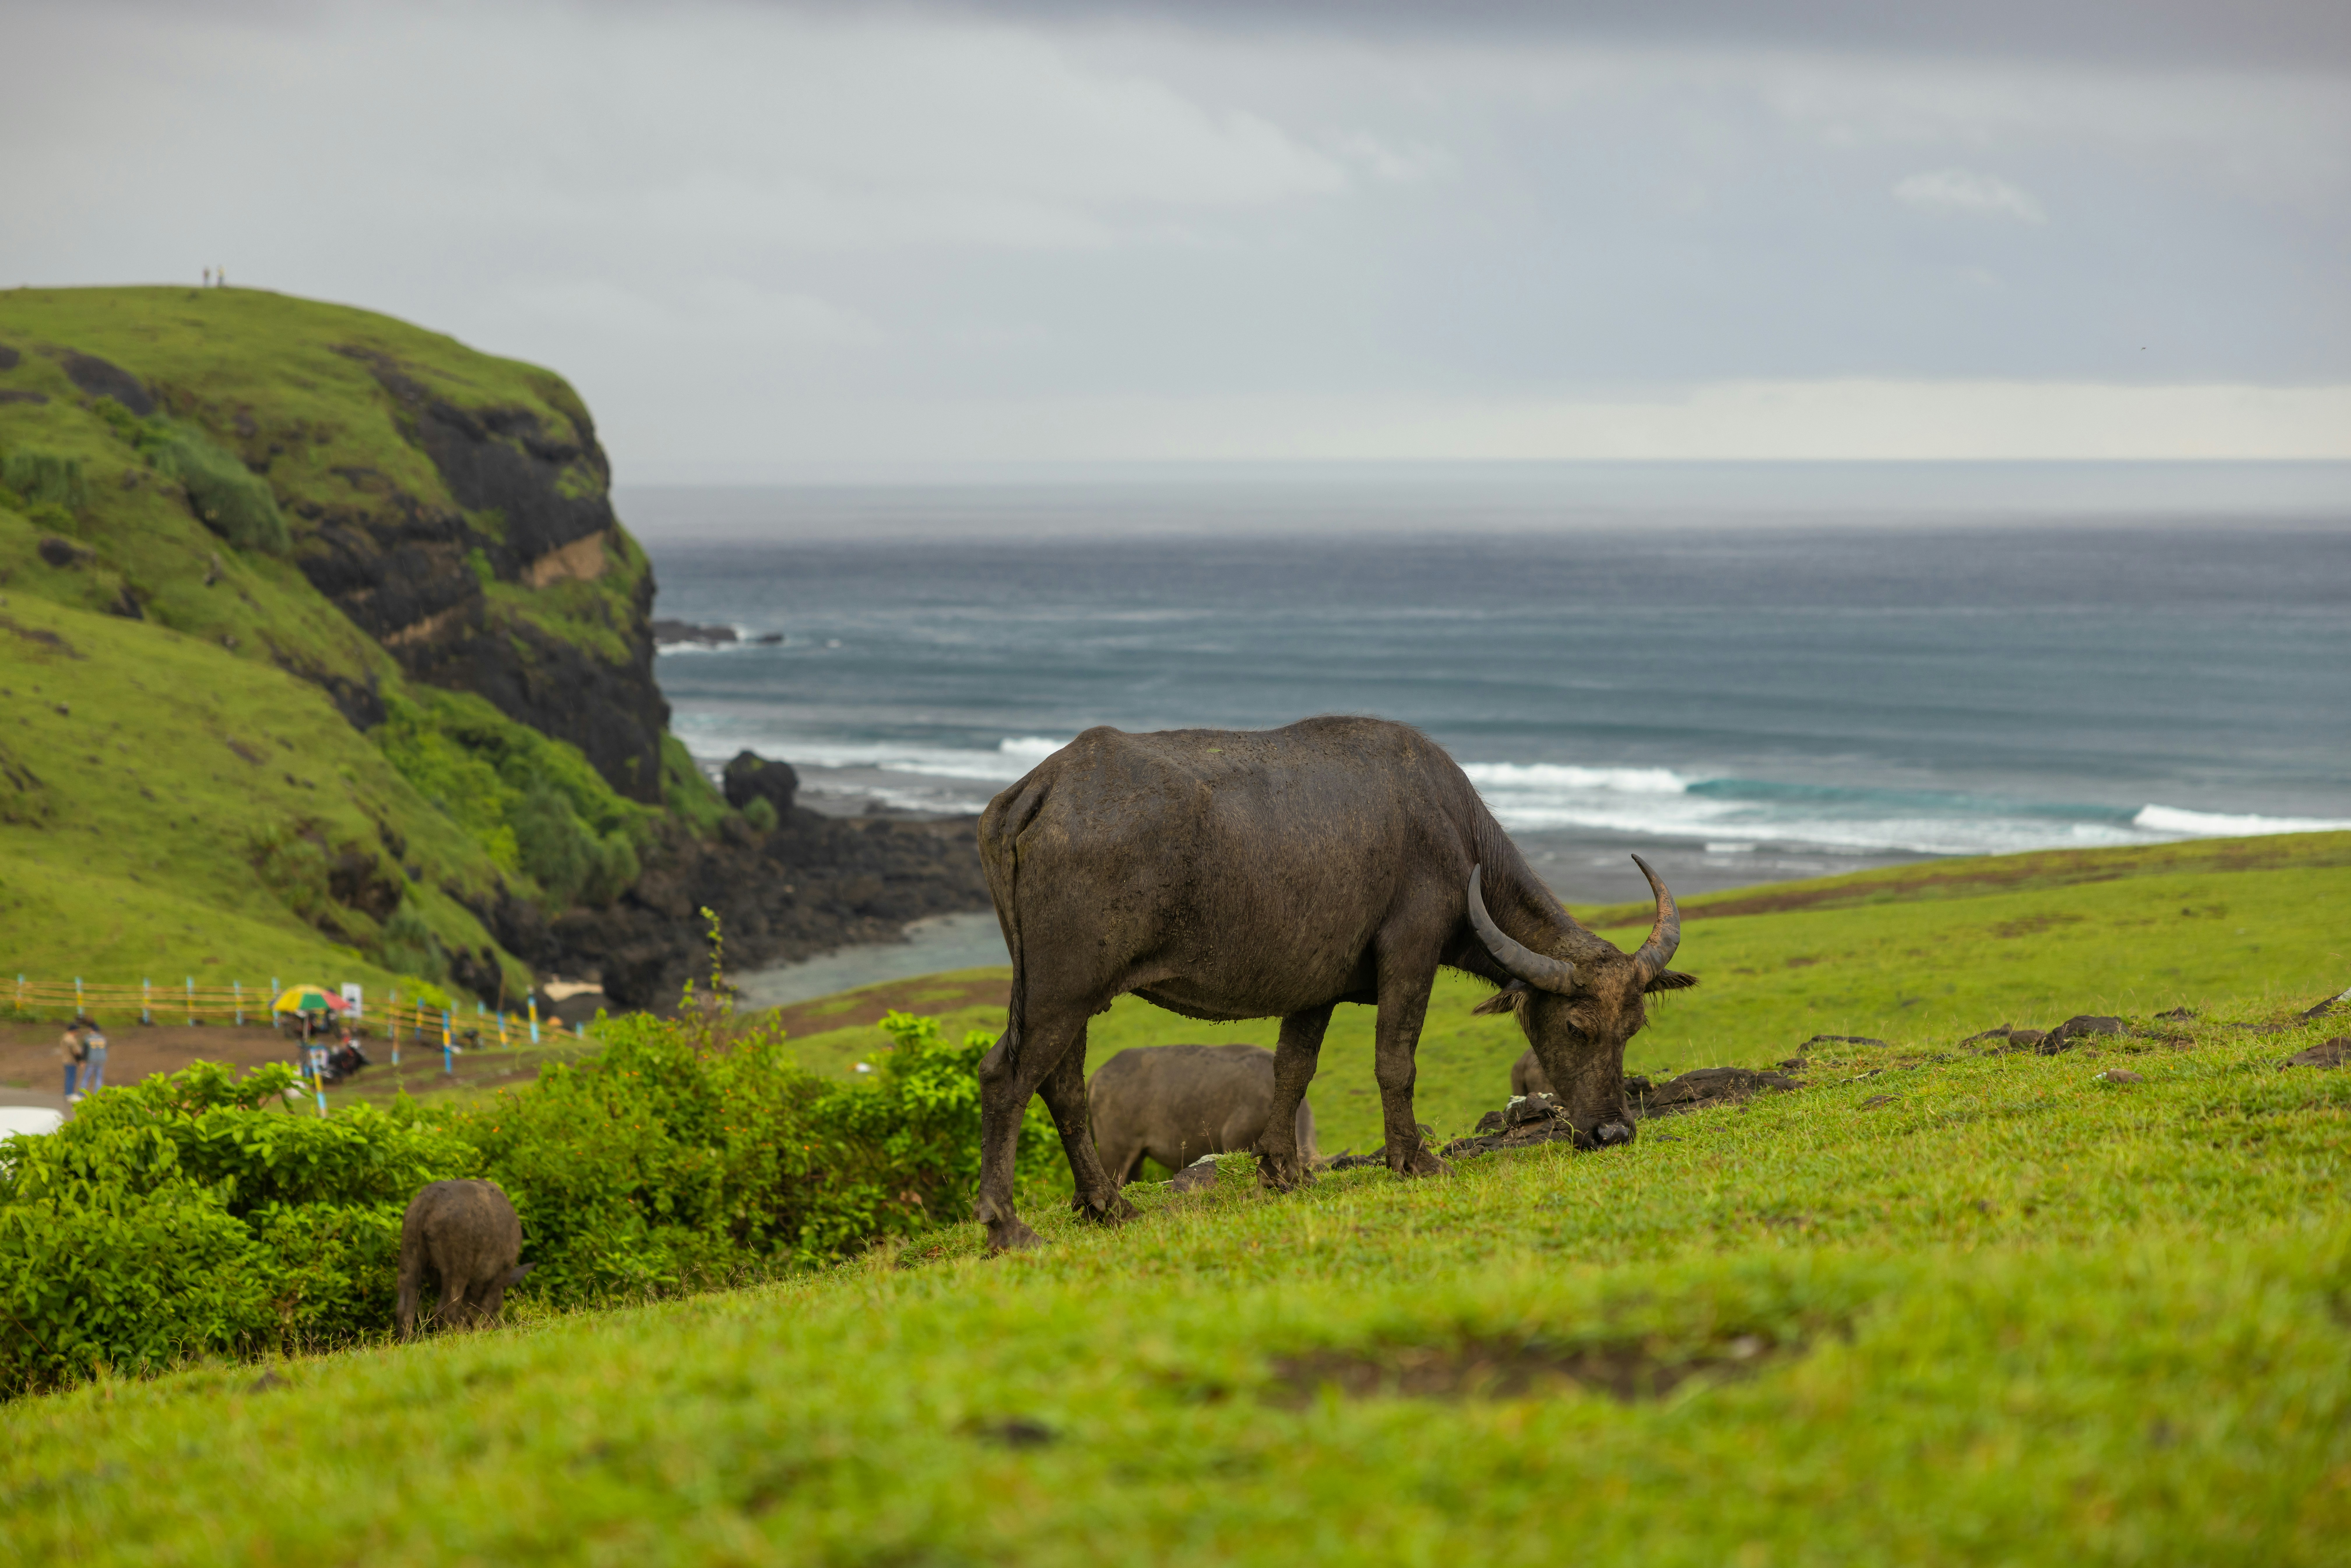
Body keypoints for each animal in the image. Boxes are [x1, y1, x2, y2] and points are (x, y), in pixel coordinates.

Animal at [396, 1179, 533, 1341]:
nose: (498, 1326)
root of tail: (428, 1202)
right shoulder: (498, 1277)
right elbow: (483, 1309)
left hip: (410, 1249)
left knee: (405, 1304)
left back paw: (409, 1341)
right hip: (457, 1265)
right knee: (447, 1306)